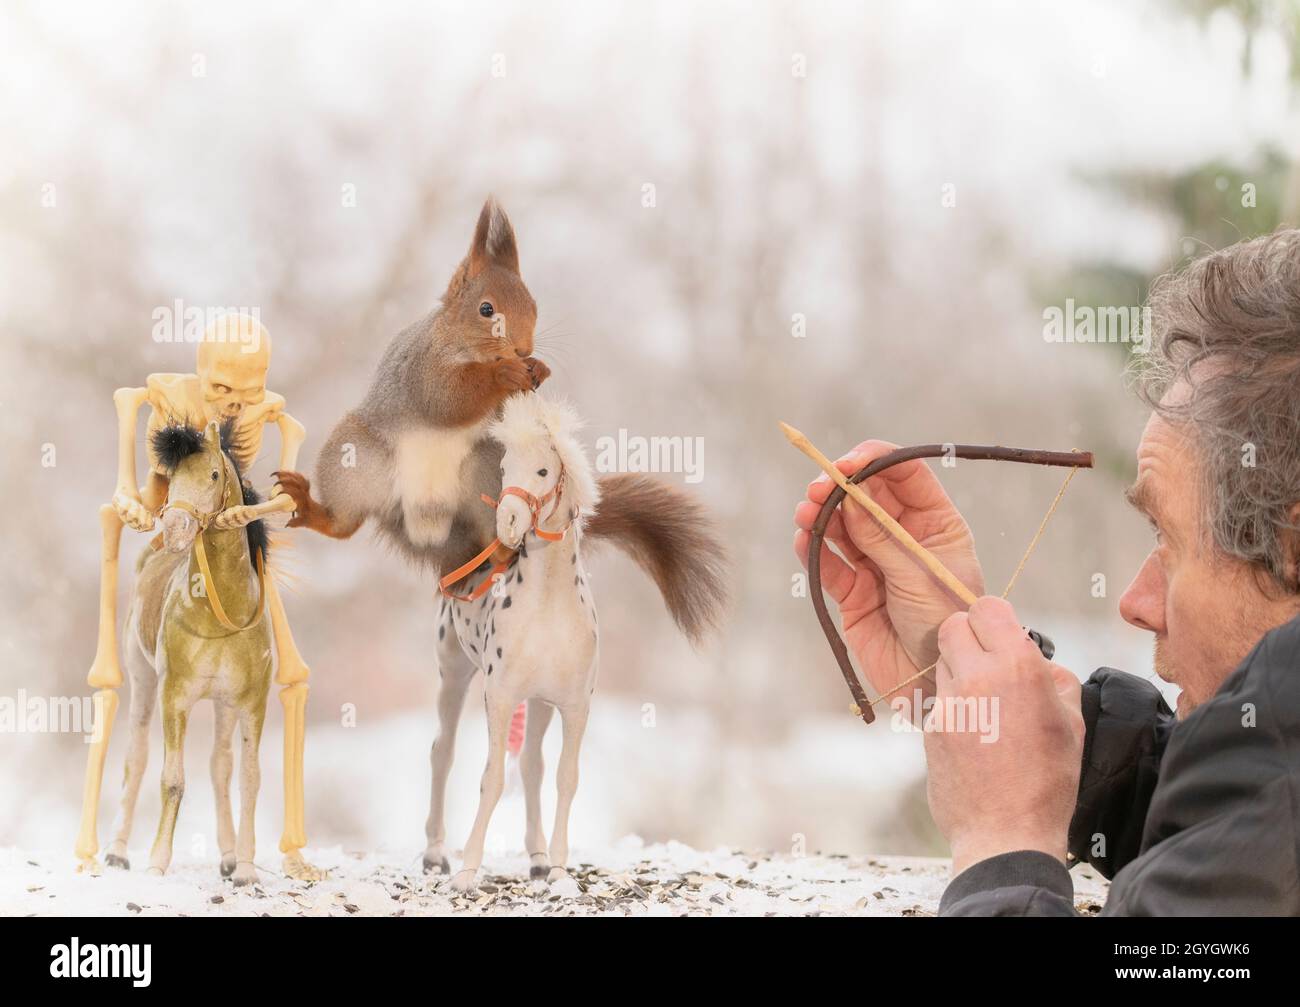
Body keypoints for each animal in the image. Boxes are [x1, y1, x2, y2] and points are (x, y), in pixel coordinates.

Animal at [276, 198, 727, 643]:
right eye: (486, 309)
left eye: (534, 305)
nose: (524, 349)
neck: (464, 345)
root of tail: (431, 532)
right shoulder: (423, 369)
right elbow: (449, 398)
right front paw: (504, 374)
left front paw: (538, 368)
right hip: (356, 458)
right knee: (344, 525)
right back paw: (314, 508)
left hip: (487, 470)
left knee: (490, 540)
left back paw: (504, 549)